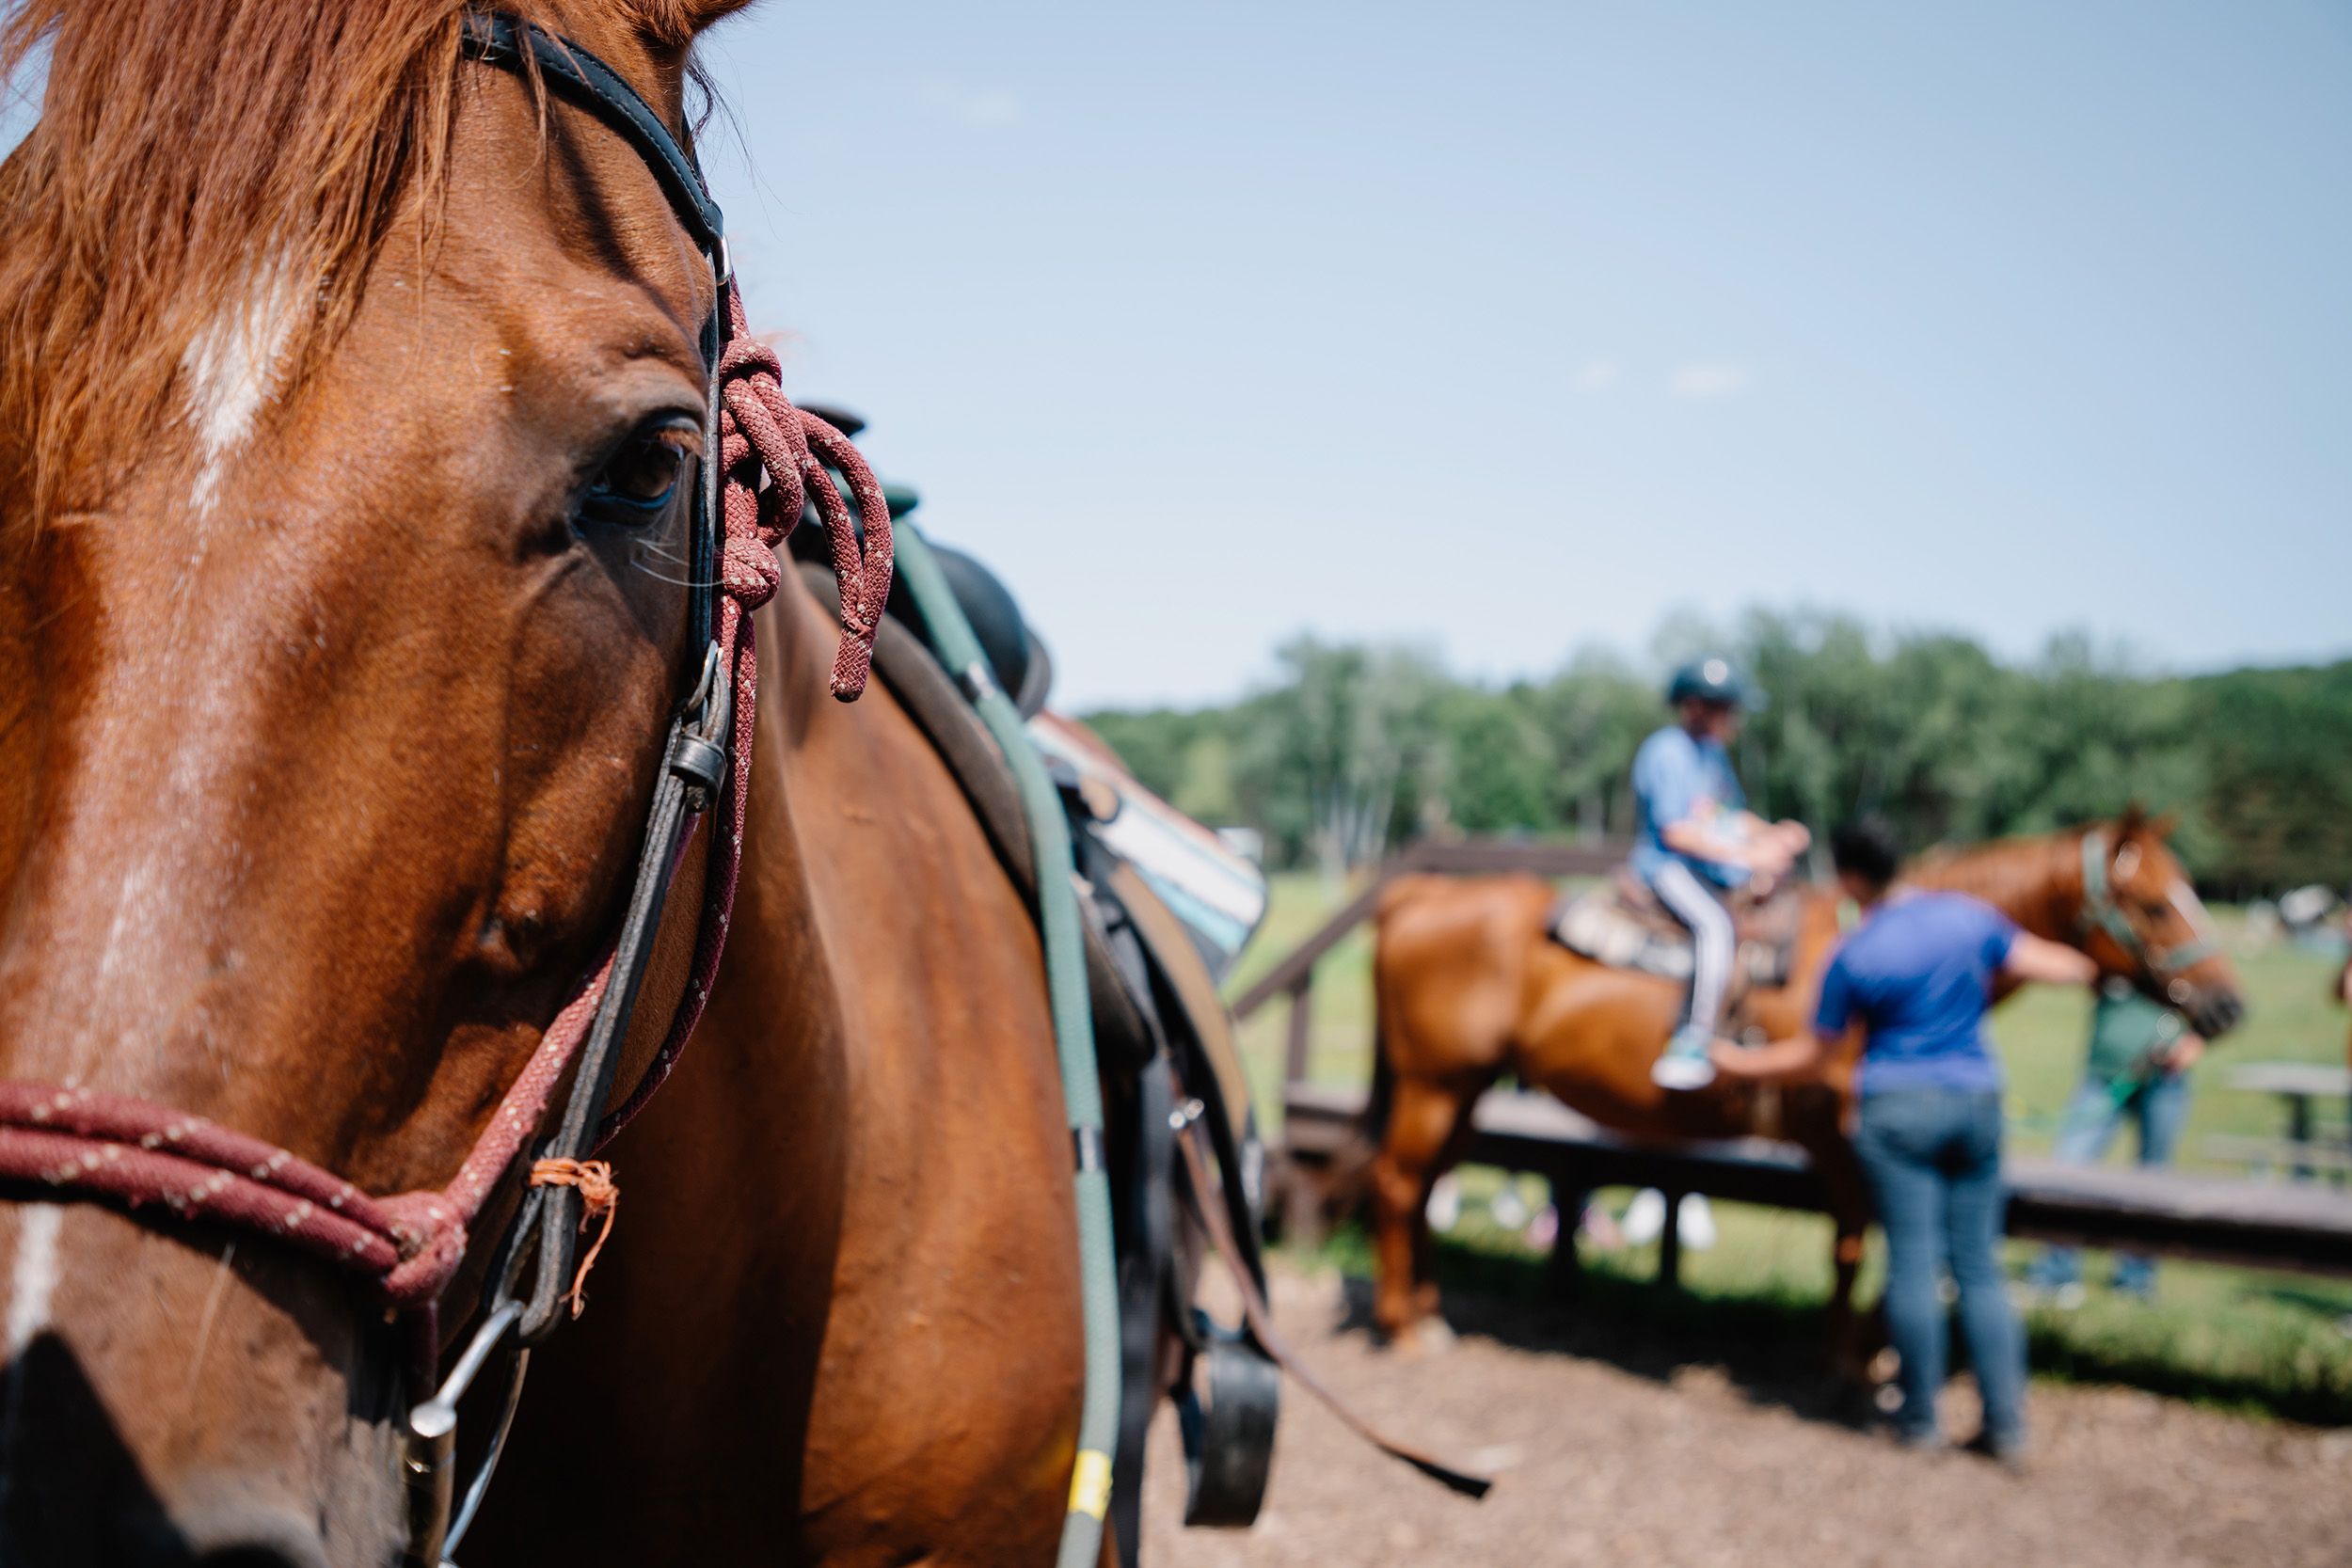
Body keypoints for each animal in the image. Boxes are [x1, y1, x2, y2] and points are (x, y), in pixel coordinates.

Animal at [1361, 810, 2246, 1364]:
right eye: (2154, 903)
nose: (2228, 1004)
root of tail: (1420, 893)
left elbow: (1873, 1234)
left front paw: (1862, 1347)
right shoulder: (1844, 1132)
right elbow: (1865, 1235)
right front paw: (1852, 1354)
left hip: (1465, 1087)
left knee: (1429, 1183)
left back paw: (1431, 1312)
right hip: (1435, 1082)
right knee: (1400, 1183)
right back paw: (1401, 1324)